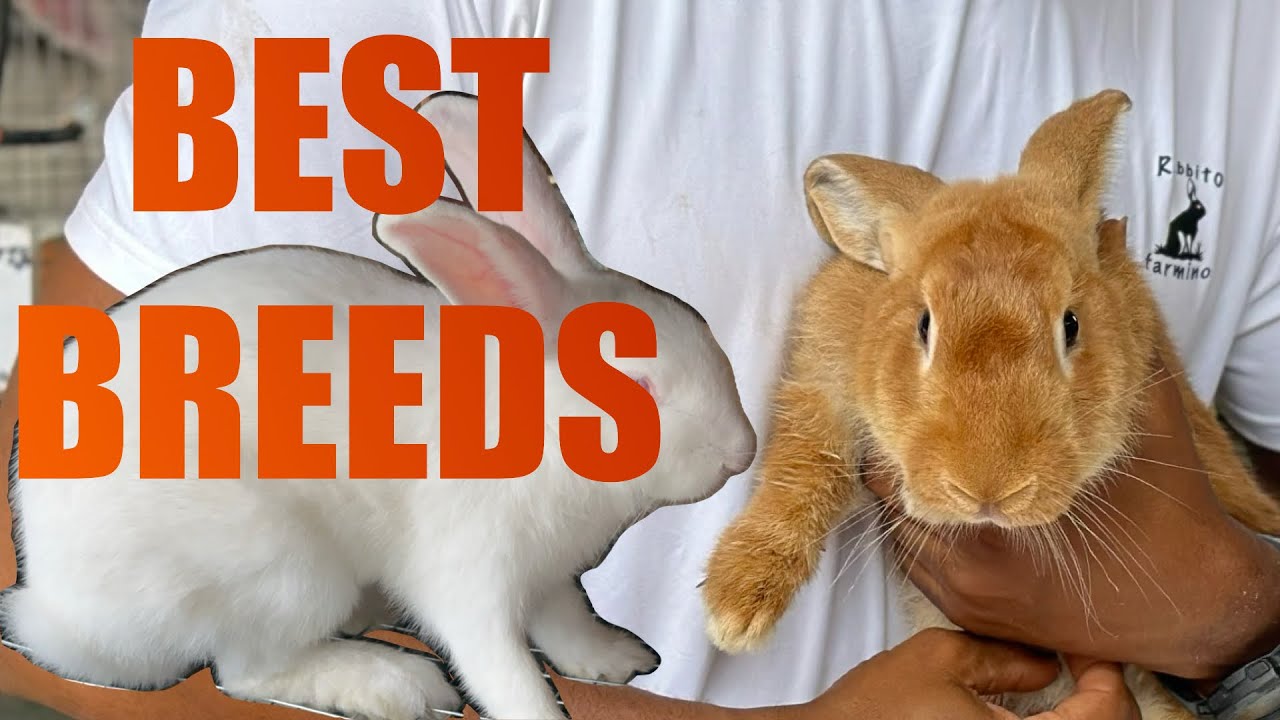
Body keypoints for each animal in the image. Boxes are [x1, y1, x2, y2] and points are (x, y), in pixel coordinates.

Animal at [0, 91, 757, 720]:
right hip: (281, 568)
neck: (538, 418)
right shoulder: (470, 569)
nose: (741, 452)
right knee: (250, 670)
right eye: (639, 387)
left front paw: (619, 658)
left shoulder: (548, 575)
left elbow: (566, 622)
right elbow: (501, 669)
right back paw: (396, 684)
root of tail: (57, 610)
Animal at [699, 89, 1280, 719]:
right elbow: (804, 470)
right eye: (924, 325)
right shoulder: (823, 385)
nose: (988, 490)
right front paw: (735, 606)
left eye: (1071, 325)